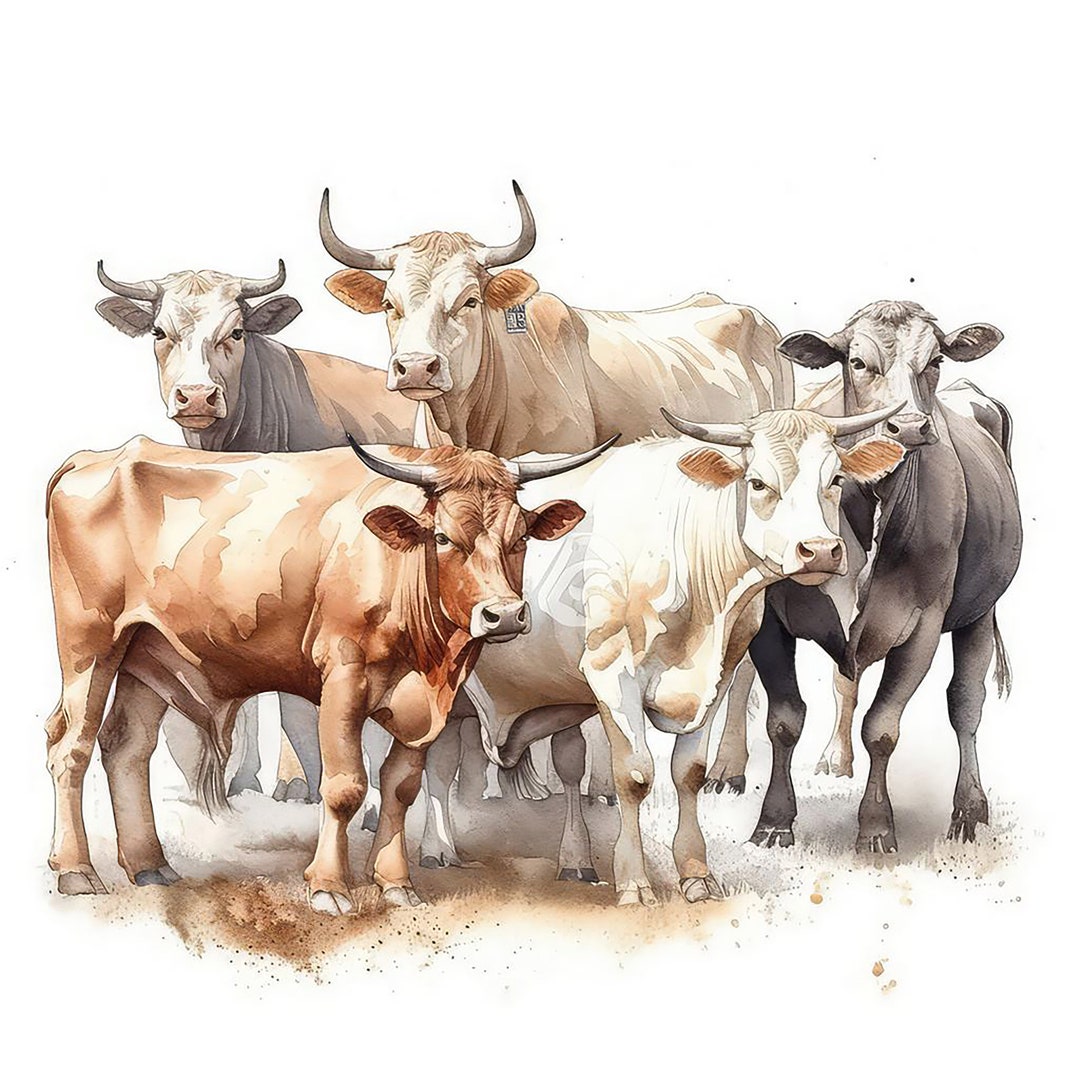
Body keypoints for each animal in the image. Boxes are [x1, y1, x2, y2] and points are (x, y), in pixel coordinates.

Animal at [44, 435, 609, 912]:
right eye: (443, 537)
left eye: (521, 537)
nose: (504, 615)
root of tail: (95, 458)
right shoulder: (342, 676)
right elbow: (344, 786)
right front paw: (328, 888)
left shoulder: (425, 706)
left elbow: (402, 786)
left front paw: (396, 884)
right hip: (90, 644)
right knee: (70, 746)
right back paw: (76, 871)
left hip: (147, 652)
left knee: (127, 747)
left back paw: (150, 866)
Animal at [96, 260, 420, 804]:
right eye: (160, 332)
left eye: (236, 332)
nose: (198, 396)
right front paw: (243, 778)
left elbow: (295, 697)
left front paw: (295, 782)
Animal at [463, 405, 906, 905]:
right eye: (757, 483)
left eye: (834, 479)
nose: (820, 551)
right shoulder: (610, 674)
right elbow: (635, 775)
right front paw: (634, 882)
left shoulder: (721, 674)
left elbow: (689, 773)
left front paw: (696, 874)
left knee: (567, 763)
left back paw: (572, 857)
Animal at [739, 300, 1021, 854]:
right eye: (857, 362)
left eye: (935, 360)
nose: (909, 427)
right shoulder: (769, 620)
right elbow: (784, 720)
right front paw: (775, 822)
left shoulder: (923, 625)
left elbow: (883, 727)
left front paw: (875, 826)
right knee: (844, 682)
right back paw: (835, 759)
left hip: (981, 611)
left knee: (966, 704)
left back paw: (969, 810)